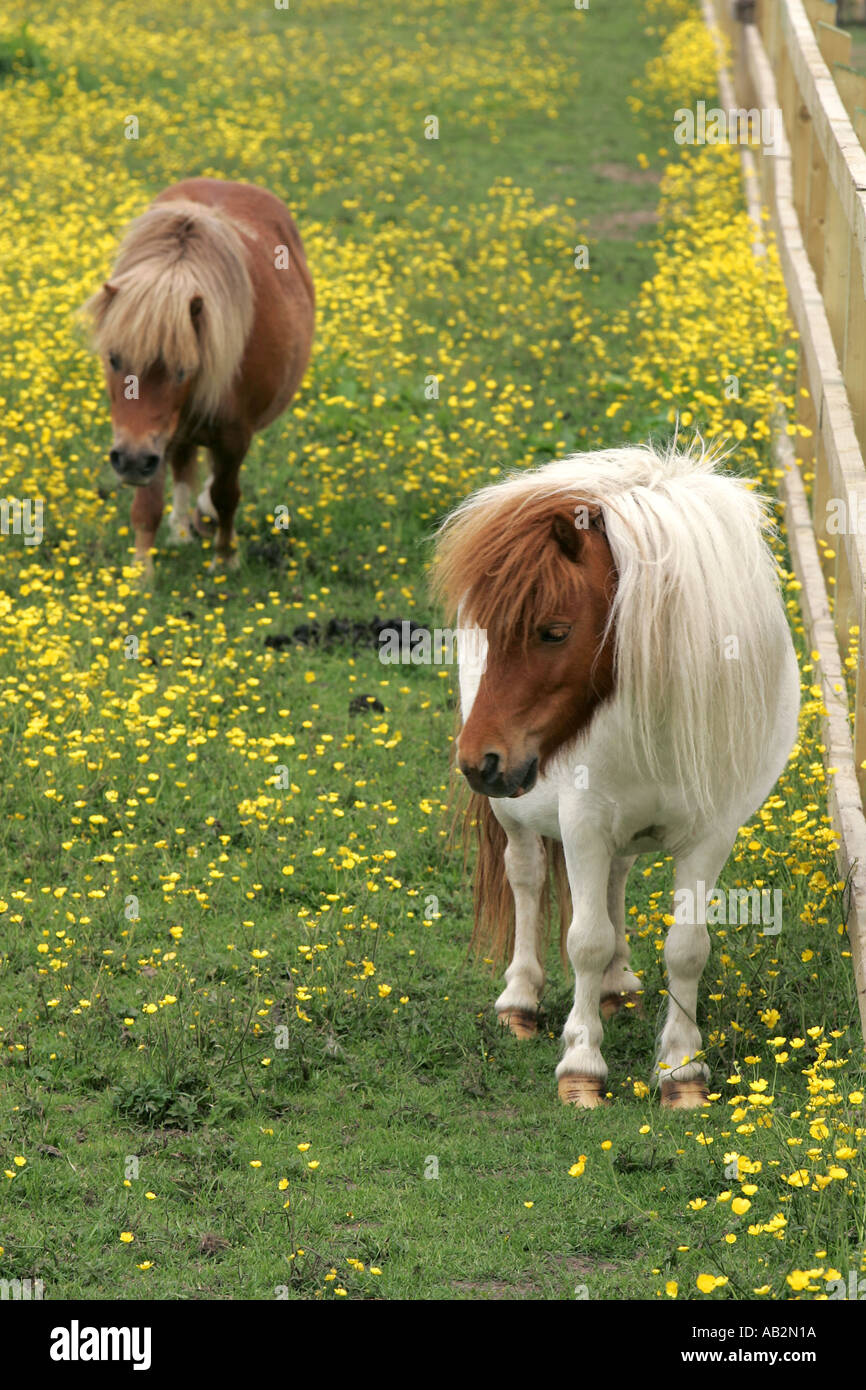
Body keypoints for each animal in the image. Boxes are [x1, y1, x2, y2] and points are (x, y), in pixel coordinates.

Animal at [81, 177, 315, 572]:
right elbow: (148, 505)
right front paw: (141, 573)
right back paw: (180, 530)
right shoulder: (150, 440)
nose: (130, 461)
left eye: (182, 371)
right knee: (182, 466)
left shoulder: (233, 438)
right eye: (113, 359)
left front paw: (225, 559)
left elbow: (225, 494)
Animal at [433, 440, 800, 1109]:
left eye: (554, 631)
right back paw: (520, 1001)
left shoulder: (712, 837)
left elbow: (687, 948)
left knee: (615, 882)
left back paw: (616, 985)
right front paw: (581, 1067)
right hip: (517, 814)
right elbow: (584, 939)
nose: (479, 761)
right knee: (527, 880)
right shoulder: (581, 826)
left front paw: (681, 1071)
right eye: (490, 630)